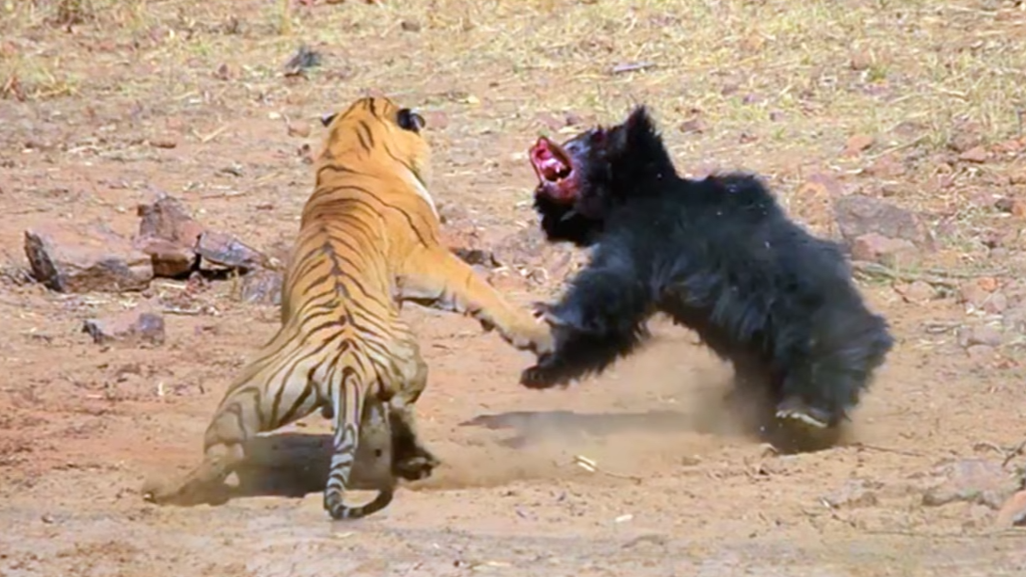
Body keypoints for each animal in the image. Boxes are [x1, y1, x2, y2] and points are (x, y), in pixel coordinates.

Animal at [142, 96, 553, 520]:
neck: (352, 155)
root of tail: (347, 366)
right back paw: (415, 460)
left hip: (244, 399)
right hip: (410, 361)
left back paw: (163, 490)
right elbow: (481, 291)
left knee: (225, 452)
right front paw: (538, 333)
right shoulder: (428, 259)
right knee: (399, 407)